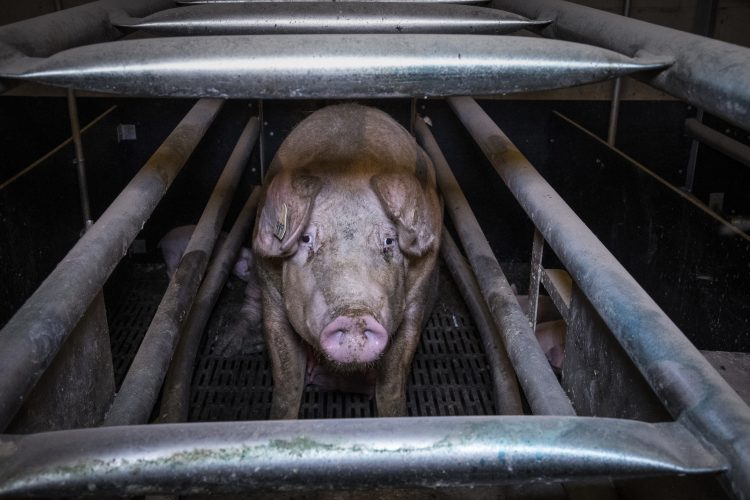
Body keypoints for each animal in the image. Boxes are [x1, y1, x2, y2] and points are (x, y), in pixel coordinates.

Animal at [252, 104, 442, 418]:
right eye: (306, 239)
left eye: (389, 241)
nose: (354, 315)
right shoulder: (269, 289)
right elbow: (287, 378)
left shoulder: (420, 290)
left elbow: (392, 380)